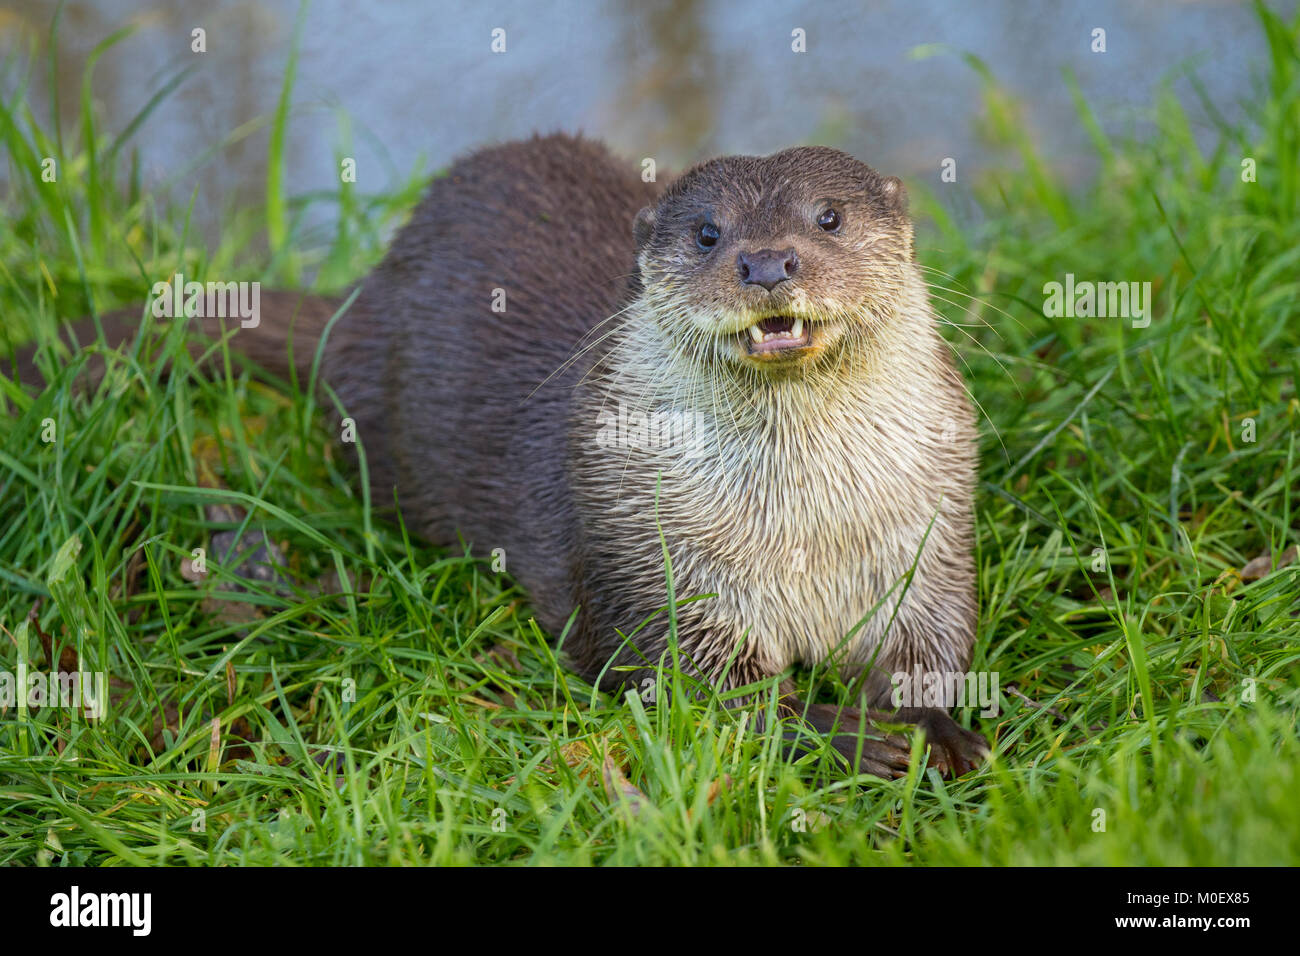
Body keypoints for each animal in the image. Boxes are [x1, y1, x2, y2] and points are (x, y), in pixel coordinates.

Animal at [13, 133, 988, 777]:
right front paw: (857, 740)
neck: (802, 534)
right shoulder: (656, 569)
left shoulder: (927, 541)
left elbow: (934, 650)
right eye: (708, 233)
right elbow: (696, 690)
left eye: (830, 217)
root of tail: (362, 300)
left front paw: (942, 732)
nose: (768, 261)